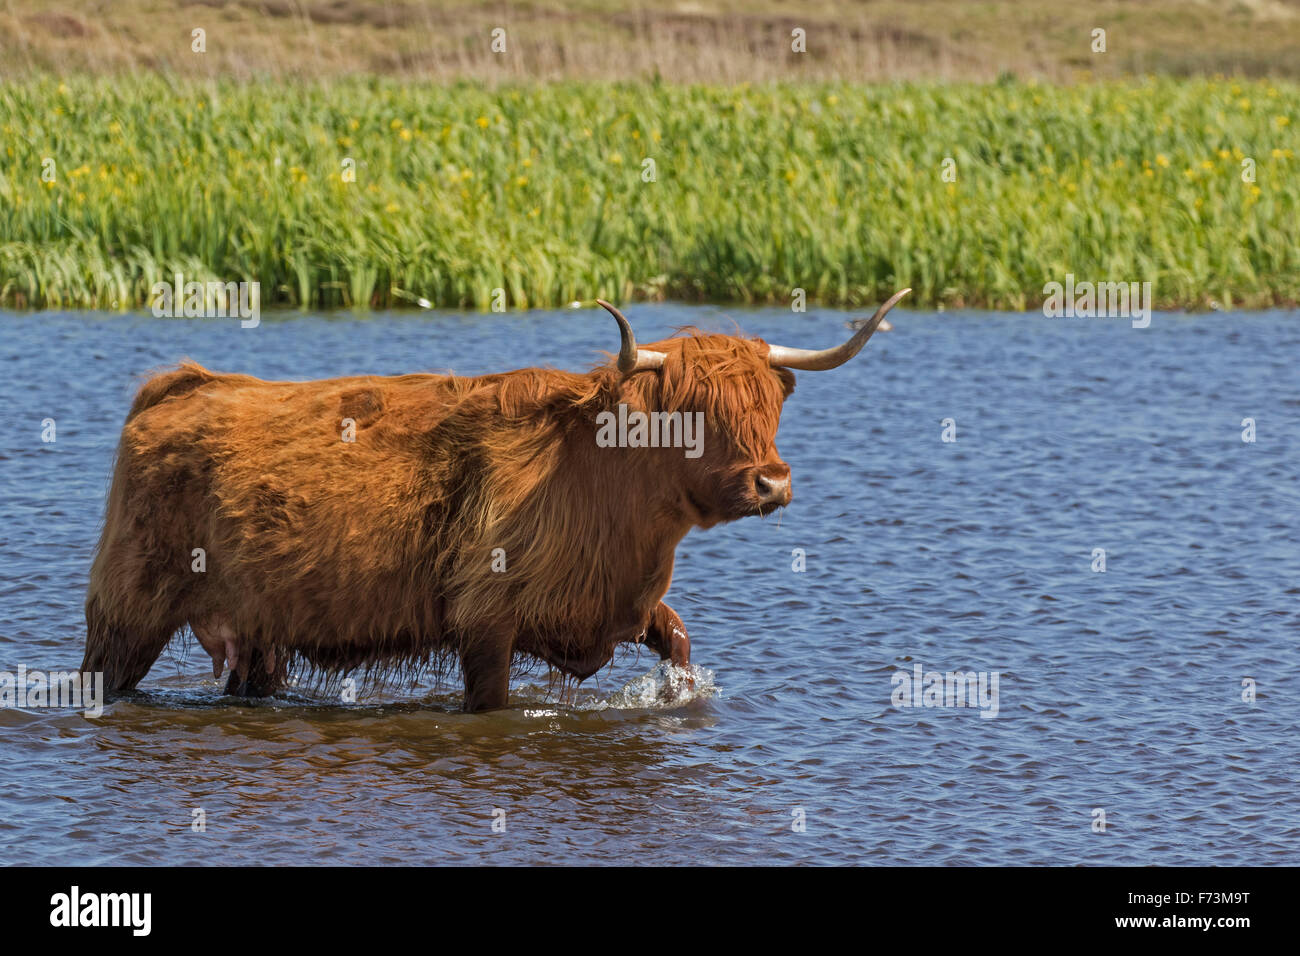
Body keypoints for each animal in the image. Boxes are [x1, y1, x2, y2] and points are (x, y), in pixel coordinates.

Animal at [81, 289, 909, 711]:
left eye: (770, 406)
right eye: (695, 412)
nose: (773, 482)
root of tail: (184, 383)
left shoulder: (613, 603)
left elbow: (677, 642)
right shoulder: (486, 622)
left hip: (255, 632)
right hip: (128, 610)